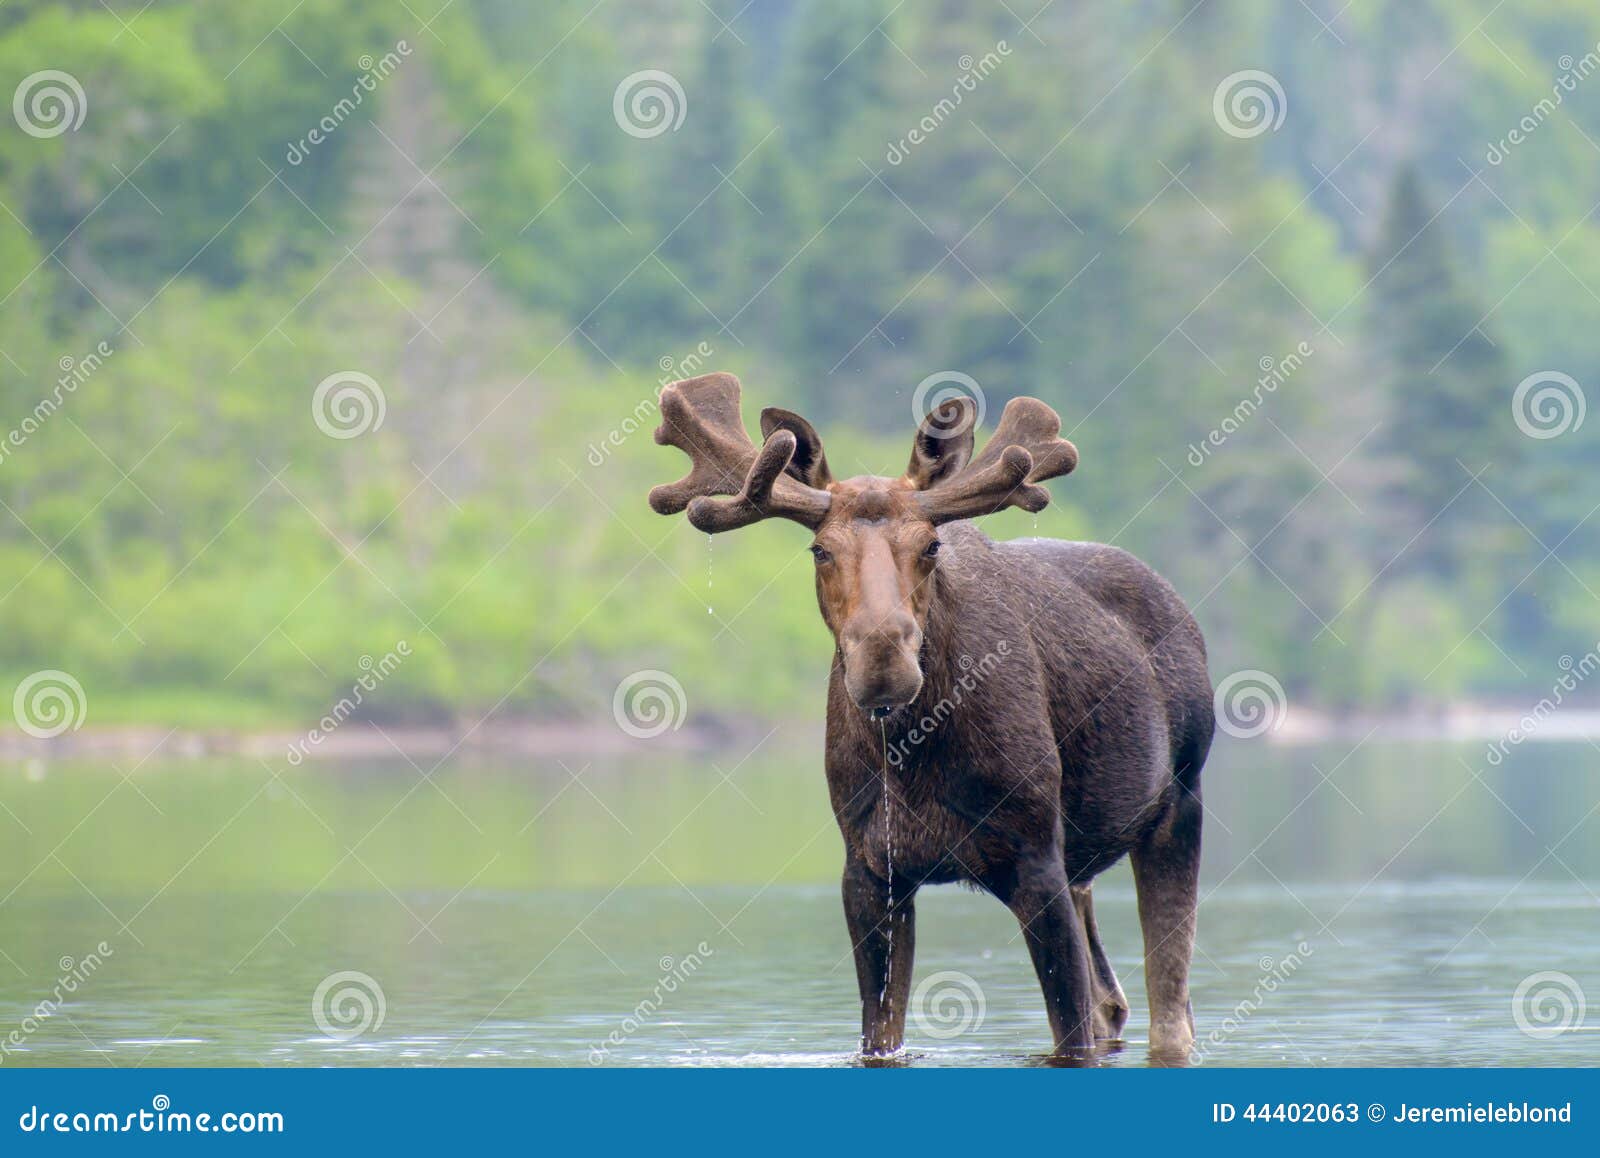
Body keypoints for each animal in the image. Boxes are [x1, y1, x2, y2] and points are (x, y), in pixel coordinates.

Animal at [647, 372, 1214, 1061]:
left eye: (931, 544)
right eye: (819, 550)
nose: (883, 660)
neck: (913, 754)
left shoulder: (1034, 860)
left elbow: (1070, 1035)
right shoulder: (869, 871)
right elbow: (880, 1034)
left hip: (1179, 801)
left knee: (1169, 1013)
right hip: (1084, 856)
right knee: (1114, 1001)